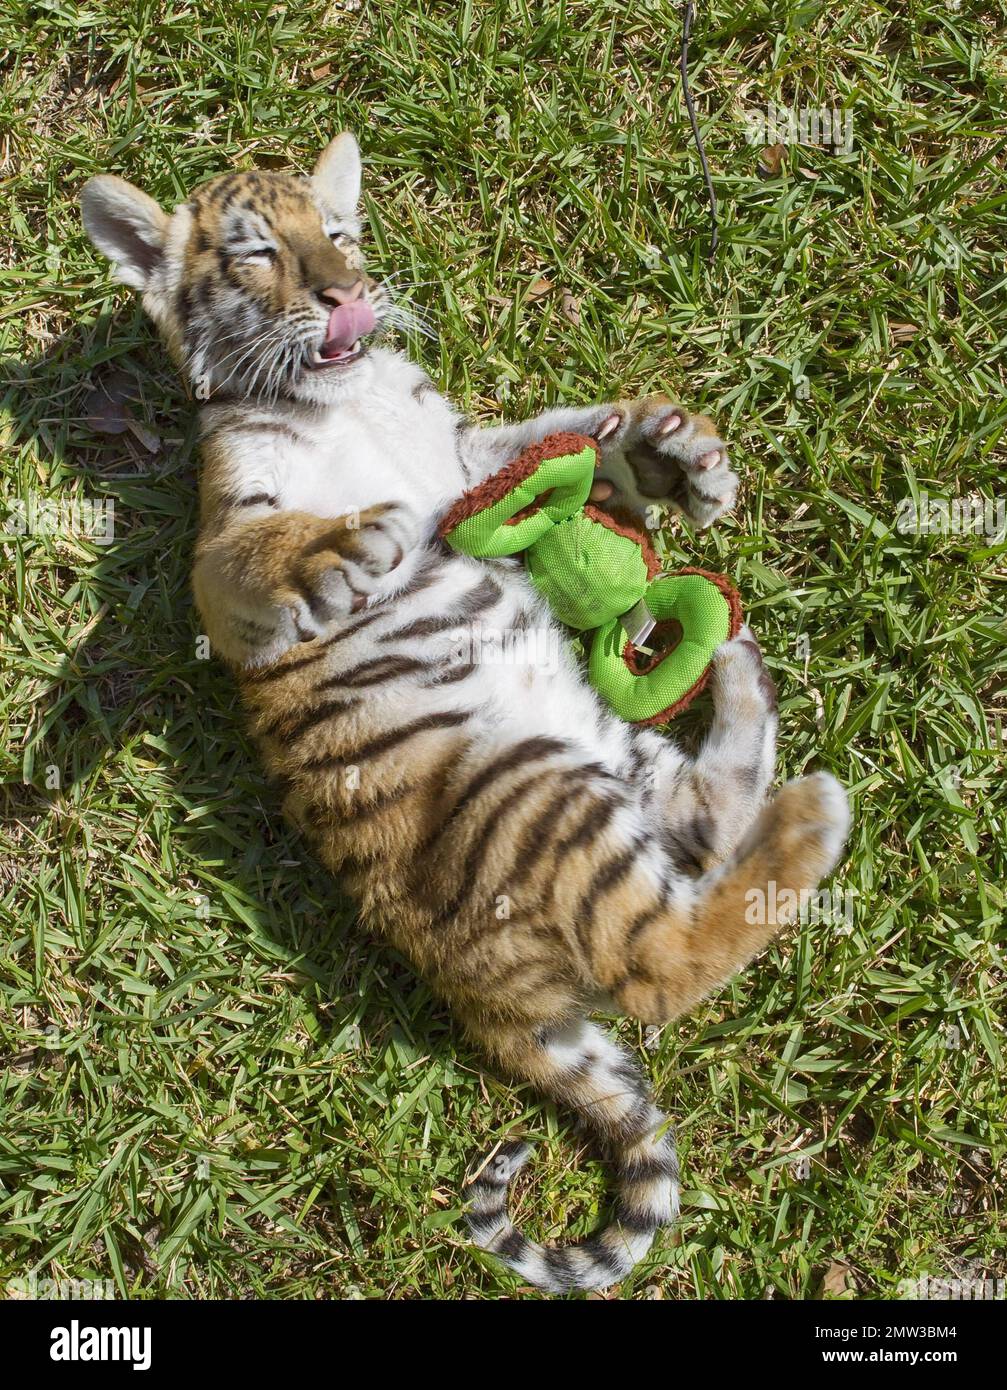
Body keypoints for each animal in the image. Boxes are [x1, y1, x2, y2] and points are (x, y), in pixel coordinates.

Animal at [80, 131, 850, 1295]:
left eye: (338, 232)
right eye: (259, 252)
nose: (348, 294)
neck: (342, 394)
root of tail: (495, 1004)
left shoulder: (466, 457)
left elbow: (557, 432)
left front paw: (671, 450)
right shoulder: (224, 556)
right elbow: (256, 555)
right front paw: (350, 543)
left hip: (614, 755)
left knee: (706, 827)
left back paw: (744, 680)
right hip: (533, 803)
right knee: (659, 968)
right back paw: (809, 813)